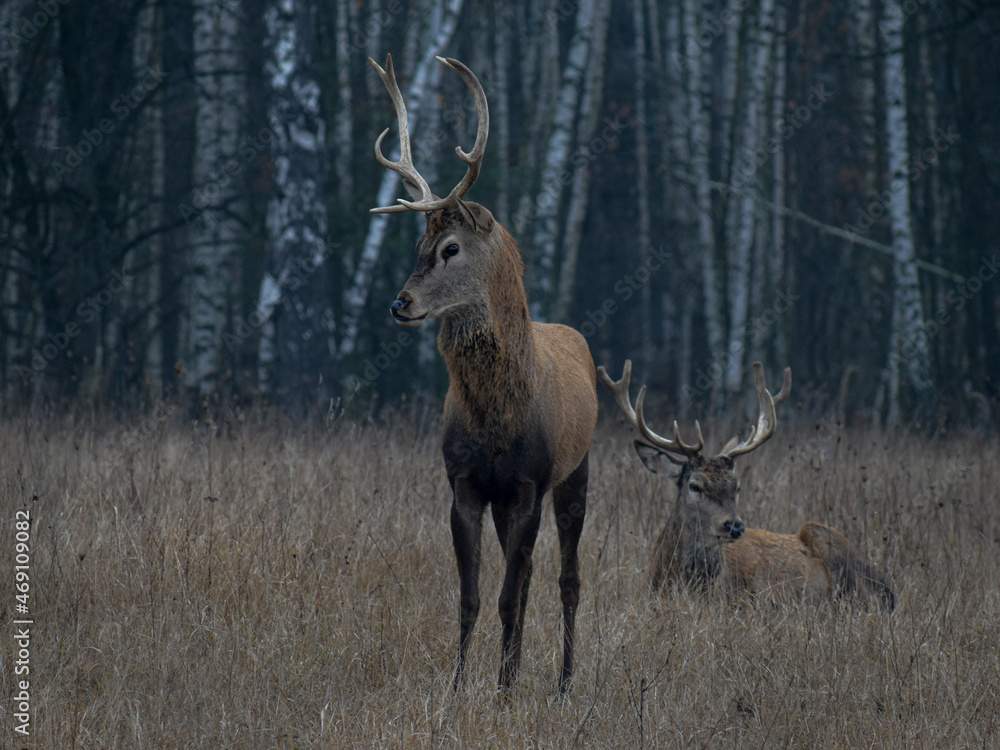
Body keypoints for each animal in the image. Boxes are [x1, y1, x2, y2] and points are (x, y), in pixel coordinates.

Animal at [369, 55, 599, 693]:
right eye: (417, 244)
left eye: (450, 247)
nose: (398, 304)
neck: (498, 419)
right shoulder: (466, 484)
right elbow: (473, 597)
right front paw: (462, 682)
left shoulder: (529, 483)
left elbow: (507, 596)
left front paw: (501, 689)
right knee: (529, 578)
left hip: (577, 471)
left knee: (568, 580)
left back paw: (566, 680)